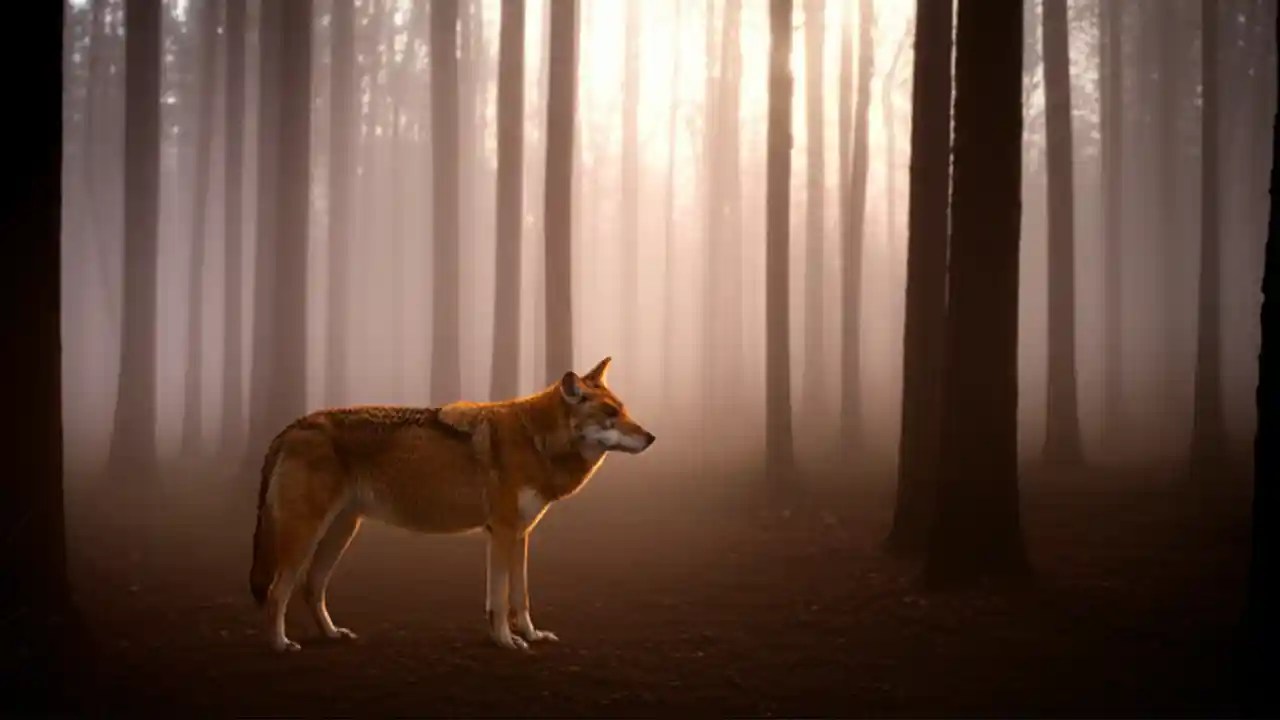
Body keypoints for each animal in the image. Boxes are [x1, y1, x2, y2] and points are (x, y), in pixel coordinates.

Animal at [249, 357, 654, 652]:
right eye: (610, 414)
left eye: (624, 410)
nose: (651, 437)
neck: (536, 440)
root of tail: (294, 425)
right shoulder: (501, 533)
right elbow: (499, 598)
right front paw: (507, 642)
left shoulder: (520, 535)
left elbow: (520, 598)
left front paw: (530, 635)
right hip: (306, 536)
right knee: (277, 592)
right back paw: (280, 645)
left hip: (341, 532)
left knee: (311, 587)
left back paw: (331, 635)